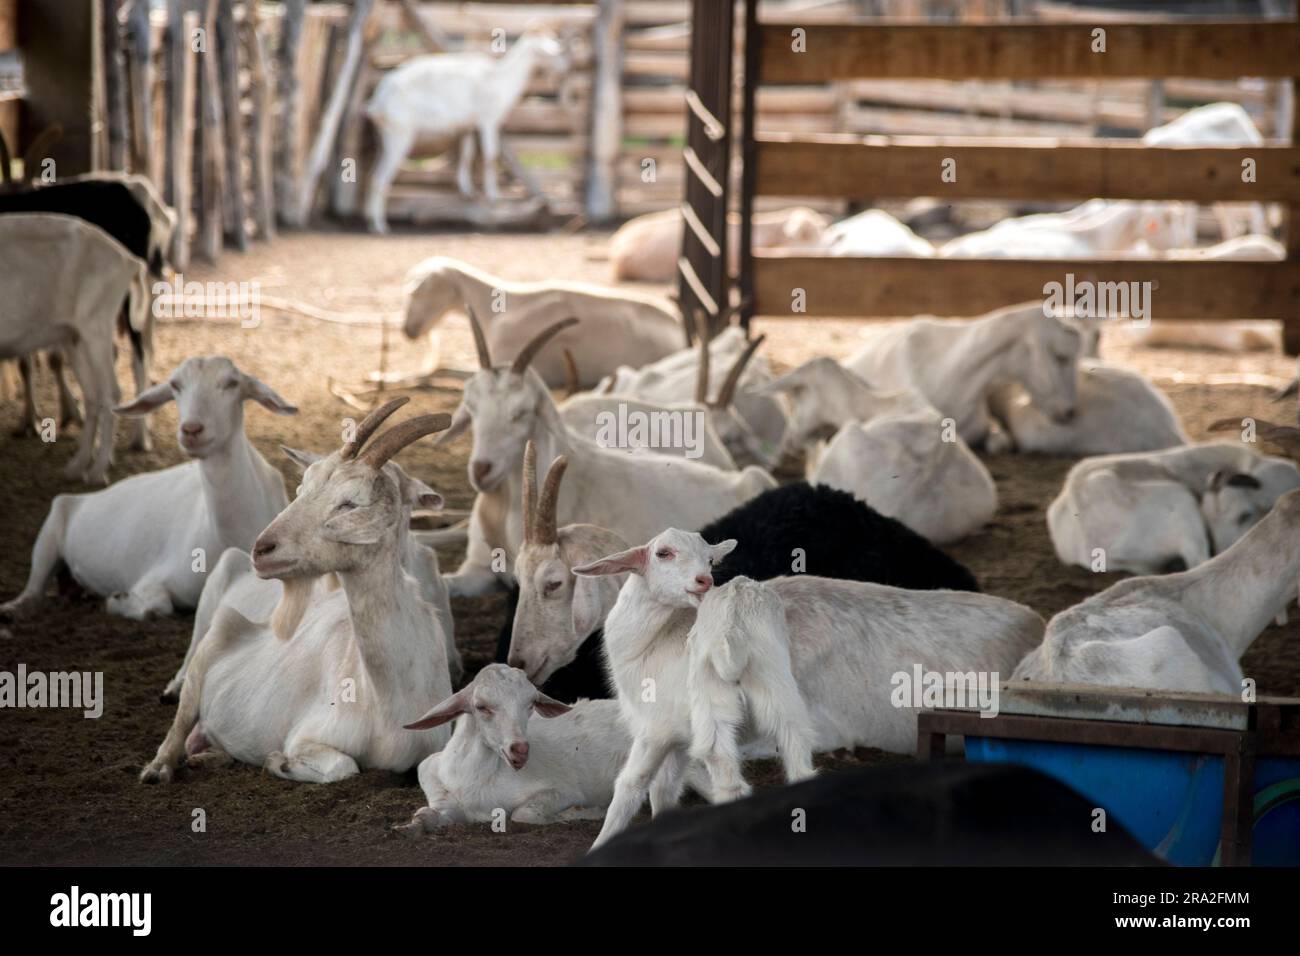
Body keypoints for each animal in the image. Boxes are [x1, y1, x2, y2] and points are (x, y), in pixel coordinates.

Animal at [1, 357, 295, 620]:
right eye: (175, 385)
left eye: (232, 383)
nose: (192, 430)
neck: (229, 533)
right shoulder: (156, 577)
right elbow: (156, 607)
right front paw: (117, 599)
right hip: (53, 525)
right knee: (33, 591)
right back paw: (12, 610)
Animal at [139, 404, 456, 784]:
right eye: (302, 487)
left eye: (350, 504)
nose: (262, 549)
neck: (388, 693)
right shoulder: (309, 735)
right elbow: (344, 767)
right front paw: (279, 761)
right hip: (209, 646)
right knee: (180, 725)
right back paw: (157, 768)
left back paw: (211, 757)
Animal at [364, 31, 569, 233]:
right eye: (553, 50)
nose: (565, 69)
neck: (500, 80)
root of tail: (377, 102)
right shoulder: (488, 120)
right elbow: (490, 155)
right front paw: (494, 196)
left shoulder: (467, 127)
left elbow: (467, 155)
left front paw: (467, 190)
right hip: (398, 136)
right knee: (379, 180)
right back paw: (380, 226)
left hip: (382, 140)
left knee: (371, 176)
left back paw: (369, 218)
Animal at [574, 528, 1042, 848]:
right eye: (663, 553)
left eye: (709, 558)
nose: (704, 582)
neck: (653, 641)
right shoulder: (675, 737)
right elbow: (663, 792)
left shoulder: (655, 729)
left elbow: (630, 787)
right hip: (780, 703)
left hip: (721, 711)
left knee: (730, 782)